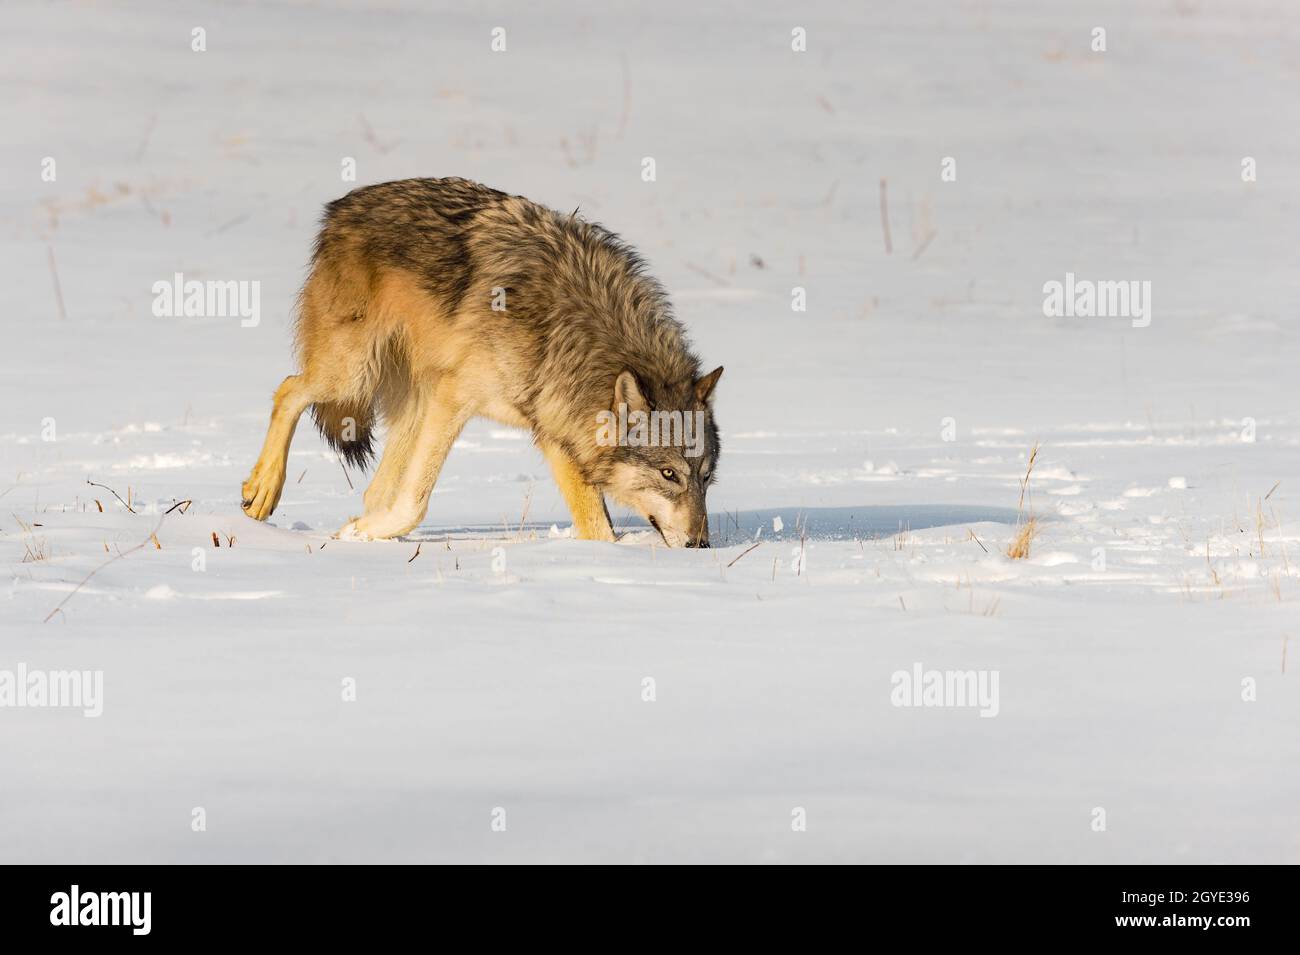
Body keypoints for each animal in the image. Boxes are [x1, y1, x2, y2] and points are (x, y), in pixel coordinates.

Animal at [241, 177, 723, 547]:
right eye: (668, 473)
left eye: (705, 478)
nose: (700, 545)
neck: (568, 333)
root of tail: (340, 207)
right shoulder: (456, 398)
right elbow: (416, 500)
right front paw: (353, 533)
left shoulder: (555, 432)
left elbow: (598, 529)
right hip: (352, 378)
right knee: (288, 388)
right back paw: (263, 491)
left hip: (408, 402)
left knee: (375, 489)